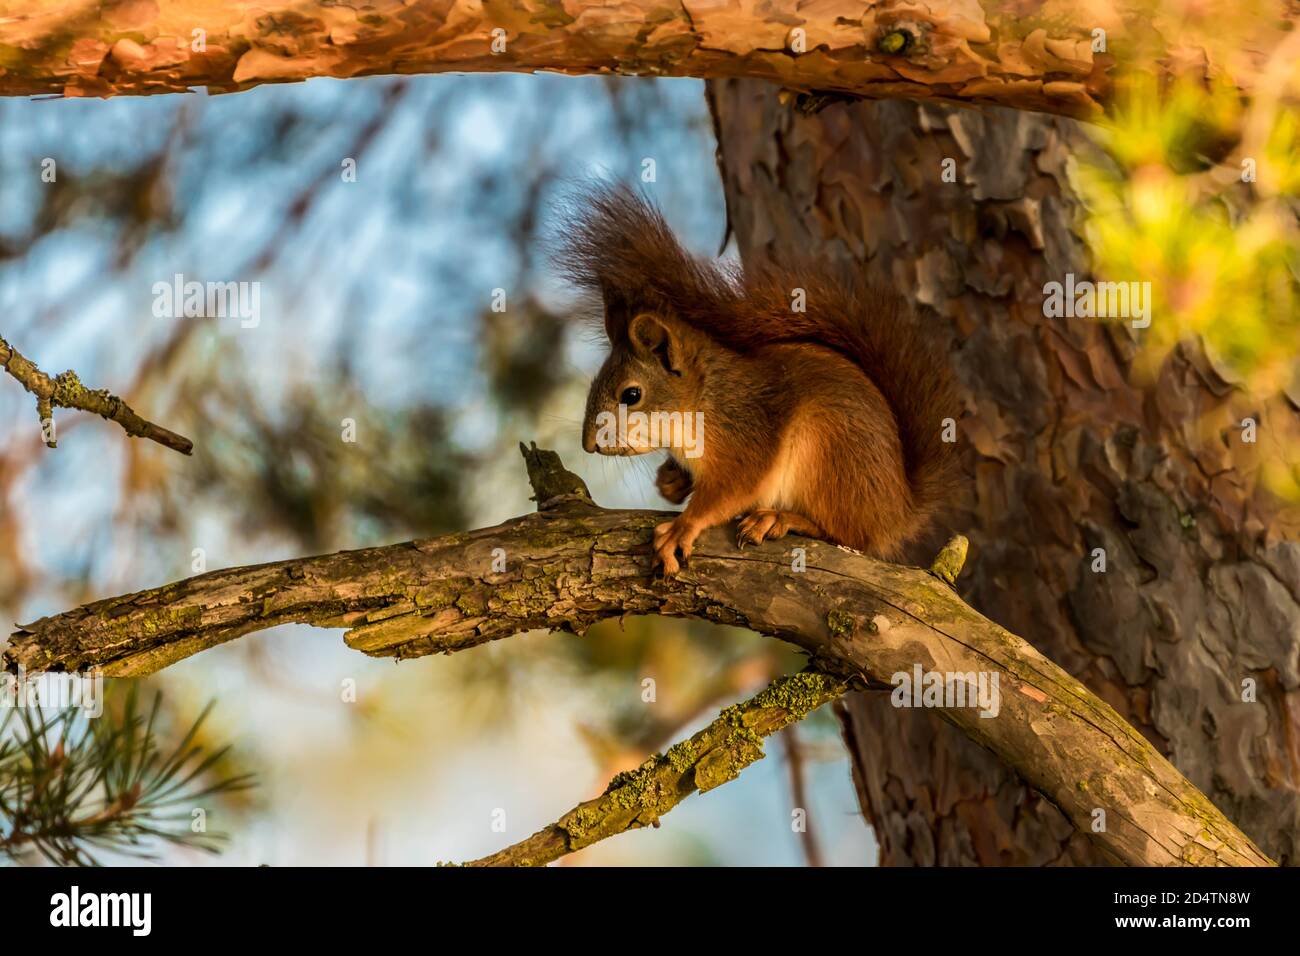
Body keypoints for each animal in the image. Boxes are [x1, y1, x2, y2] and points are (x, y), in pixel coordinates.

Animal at [559, 185, 961, 576]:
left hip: (831, 457)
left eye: (631, 394)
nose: (588, 444)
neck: (703, 400)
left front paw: (682, 526)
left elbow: (730, 490)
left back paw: (780, 518)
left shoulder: (745, 438)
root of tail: (897, 510)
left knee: (846, 534)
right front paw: (672, 482)